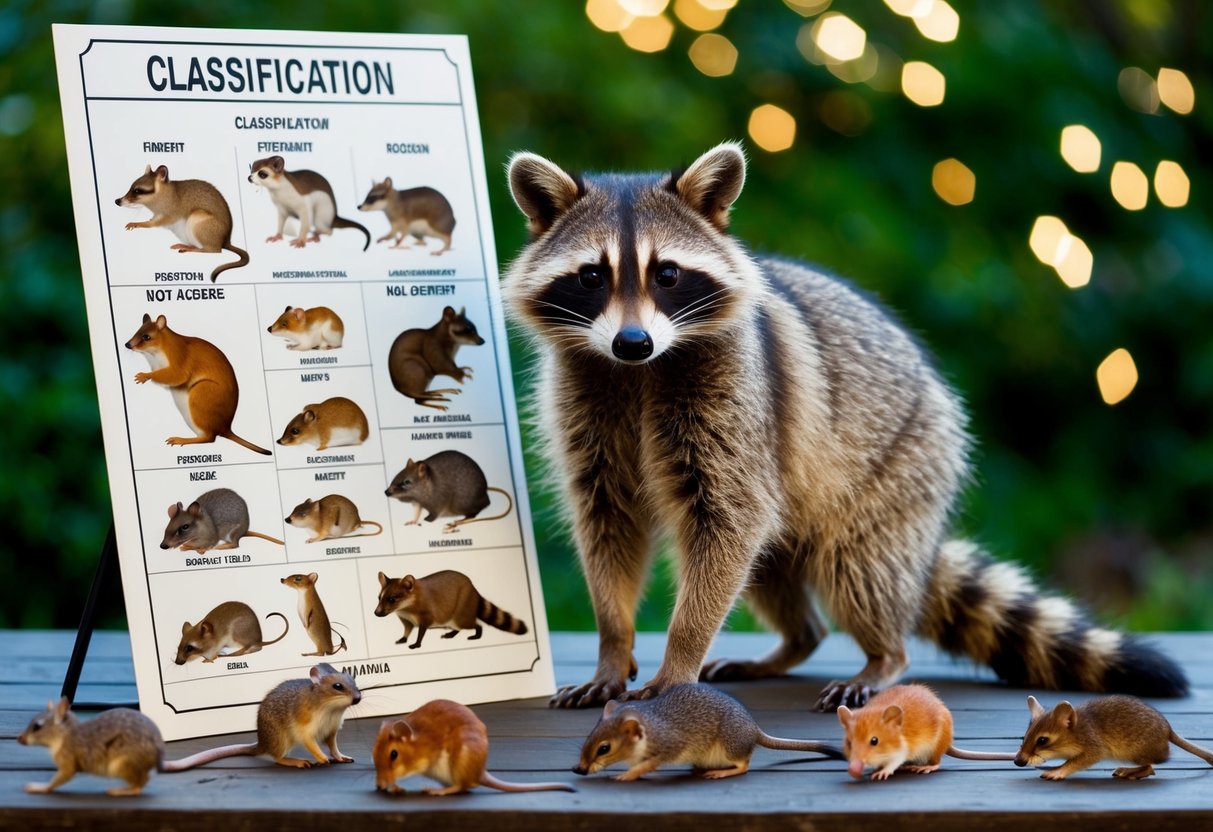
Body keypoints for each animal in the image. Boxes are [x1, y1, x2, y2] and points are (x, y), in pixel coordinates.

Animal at [502, 142, 1188, 710]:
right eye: (592, 276)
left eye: (666, 274)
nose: (633, 341)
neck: (641, 374)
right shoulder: (588, 403)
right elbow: (608, 521)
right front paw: (613, 645)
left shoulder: (737, 401)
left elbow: (727, 520)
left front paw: (680, 655)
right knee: (773, 569)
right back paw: (795, 641)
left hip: (902, 466)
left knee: (857, 567)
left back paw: (883, 656)